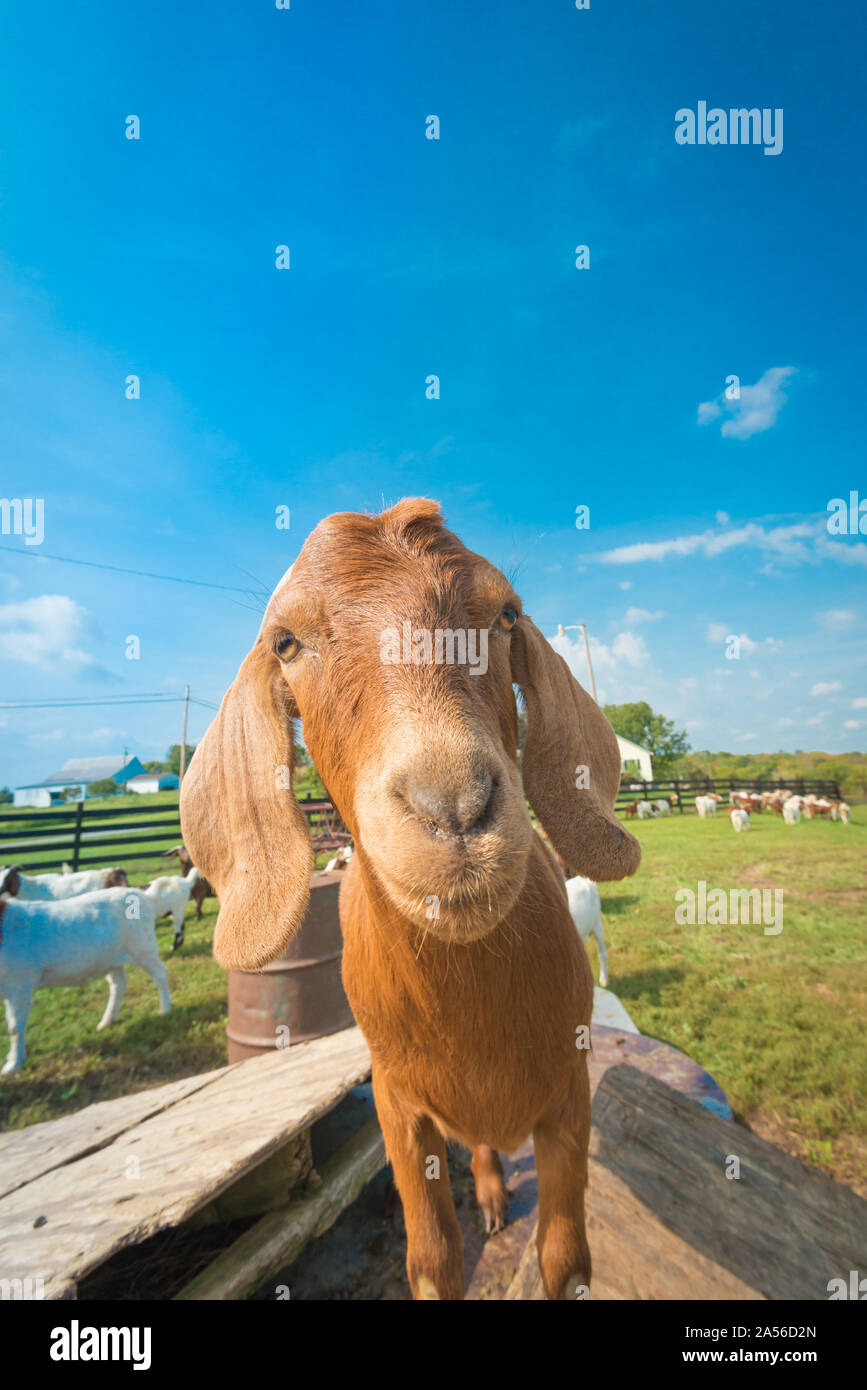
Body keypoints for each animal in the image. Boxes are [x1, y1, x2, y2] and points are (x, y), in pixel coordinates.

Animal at [0, 887, 170, 1074]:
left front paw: (12, 1066)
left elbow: (14, 1028)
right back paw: (106, 1021)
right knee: (118, 984)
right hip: (111, 959)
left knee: (160, 973)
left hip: (142, 947)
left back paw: (165, 1010)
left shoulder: (19, 983)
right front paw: (12, 1060)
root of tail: (144, 895)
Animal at [179, 498, 640, 1300]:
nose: (452, 807)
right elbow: (431, 1258)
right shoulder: (398, 1105)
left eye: (506, 615)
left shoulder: (568, 1092)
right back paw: (488, 1193)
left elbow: (563, 1256)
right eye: (286, 642)